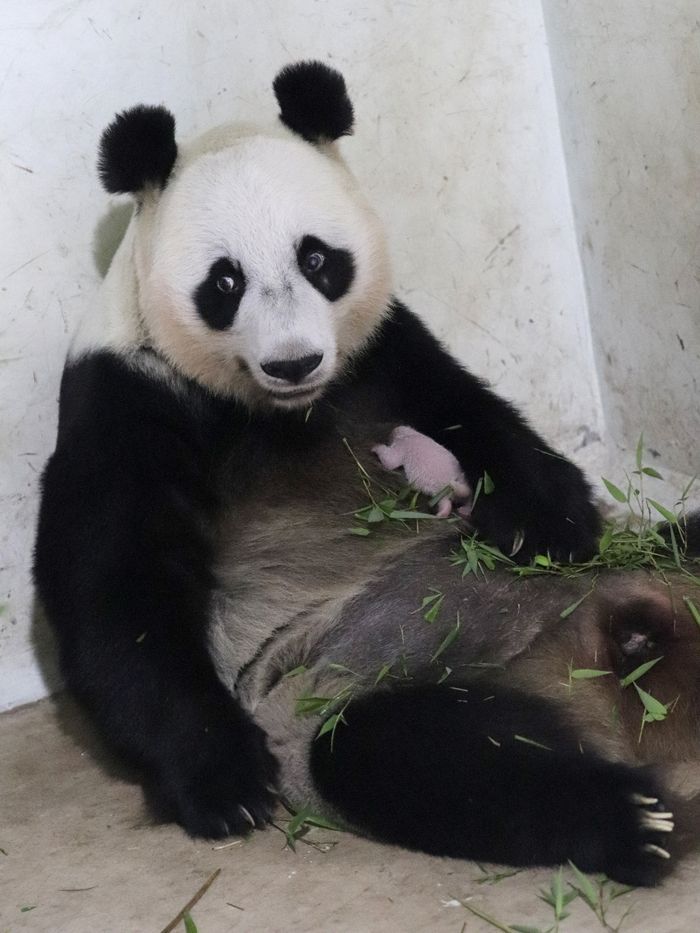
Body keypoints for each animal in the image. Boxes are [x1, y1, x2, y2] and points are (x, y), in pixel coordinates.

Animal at [34, 61, 700, 887]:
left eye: (317, 259)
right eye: (224, 282)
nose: (293, 360)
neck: (280, 413)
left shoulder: (382, 353)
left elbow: (475, 415)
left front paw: (550, 524)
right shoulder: (128, 396)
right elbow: (116, 591)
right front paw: (225, 783)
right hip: (350, 694)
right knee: (416, 755)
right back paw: (632, 819)